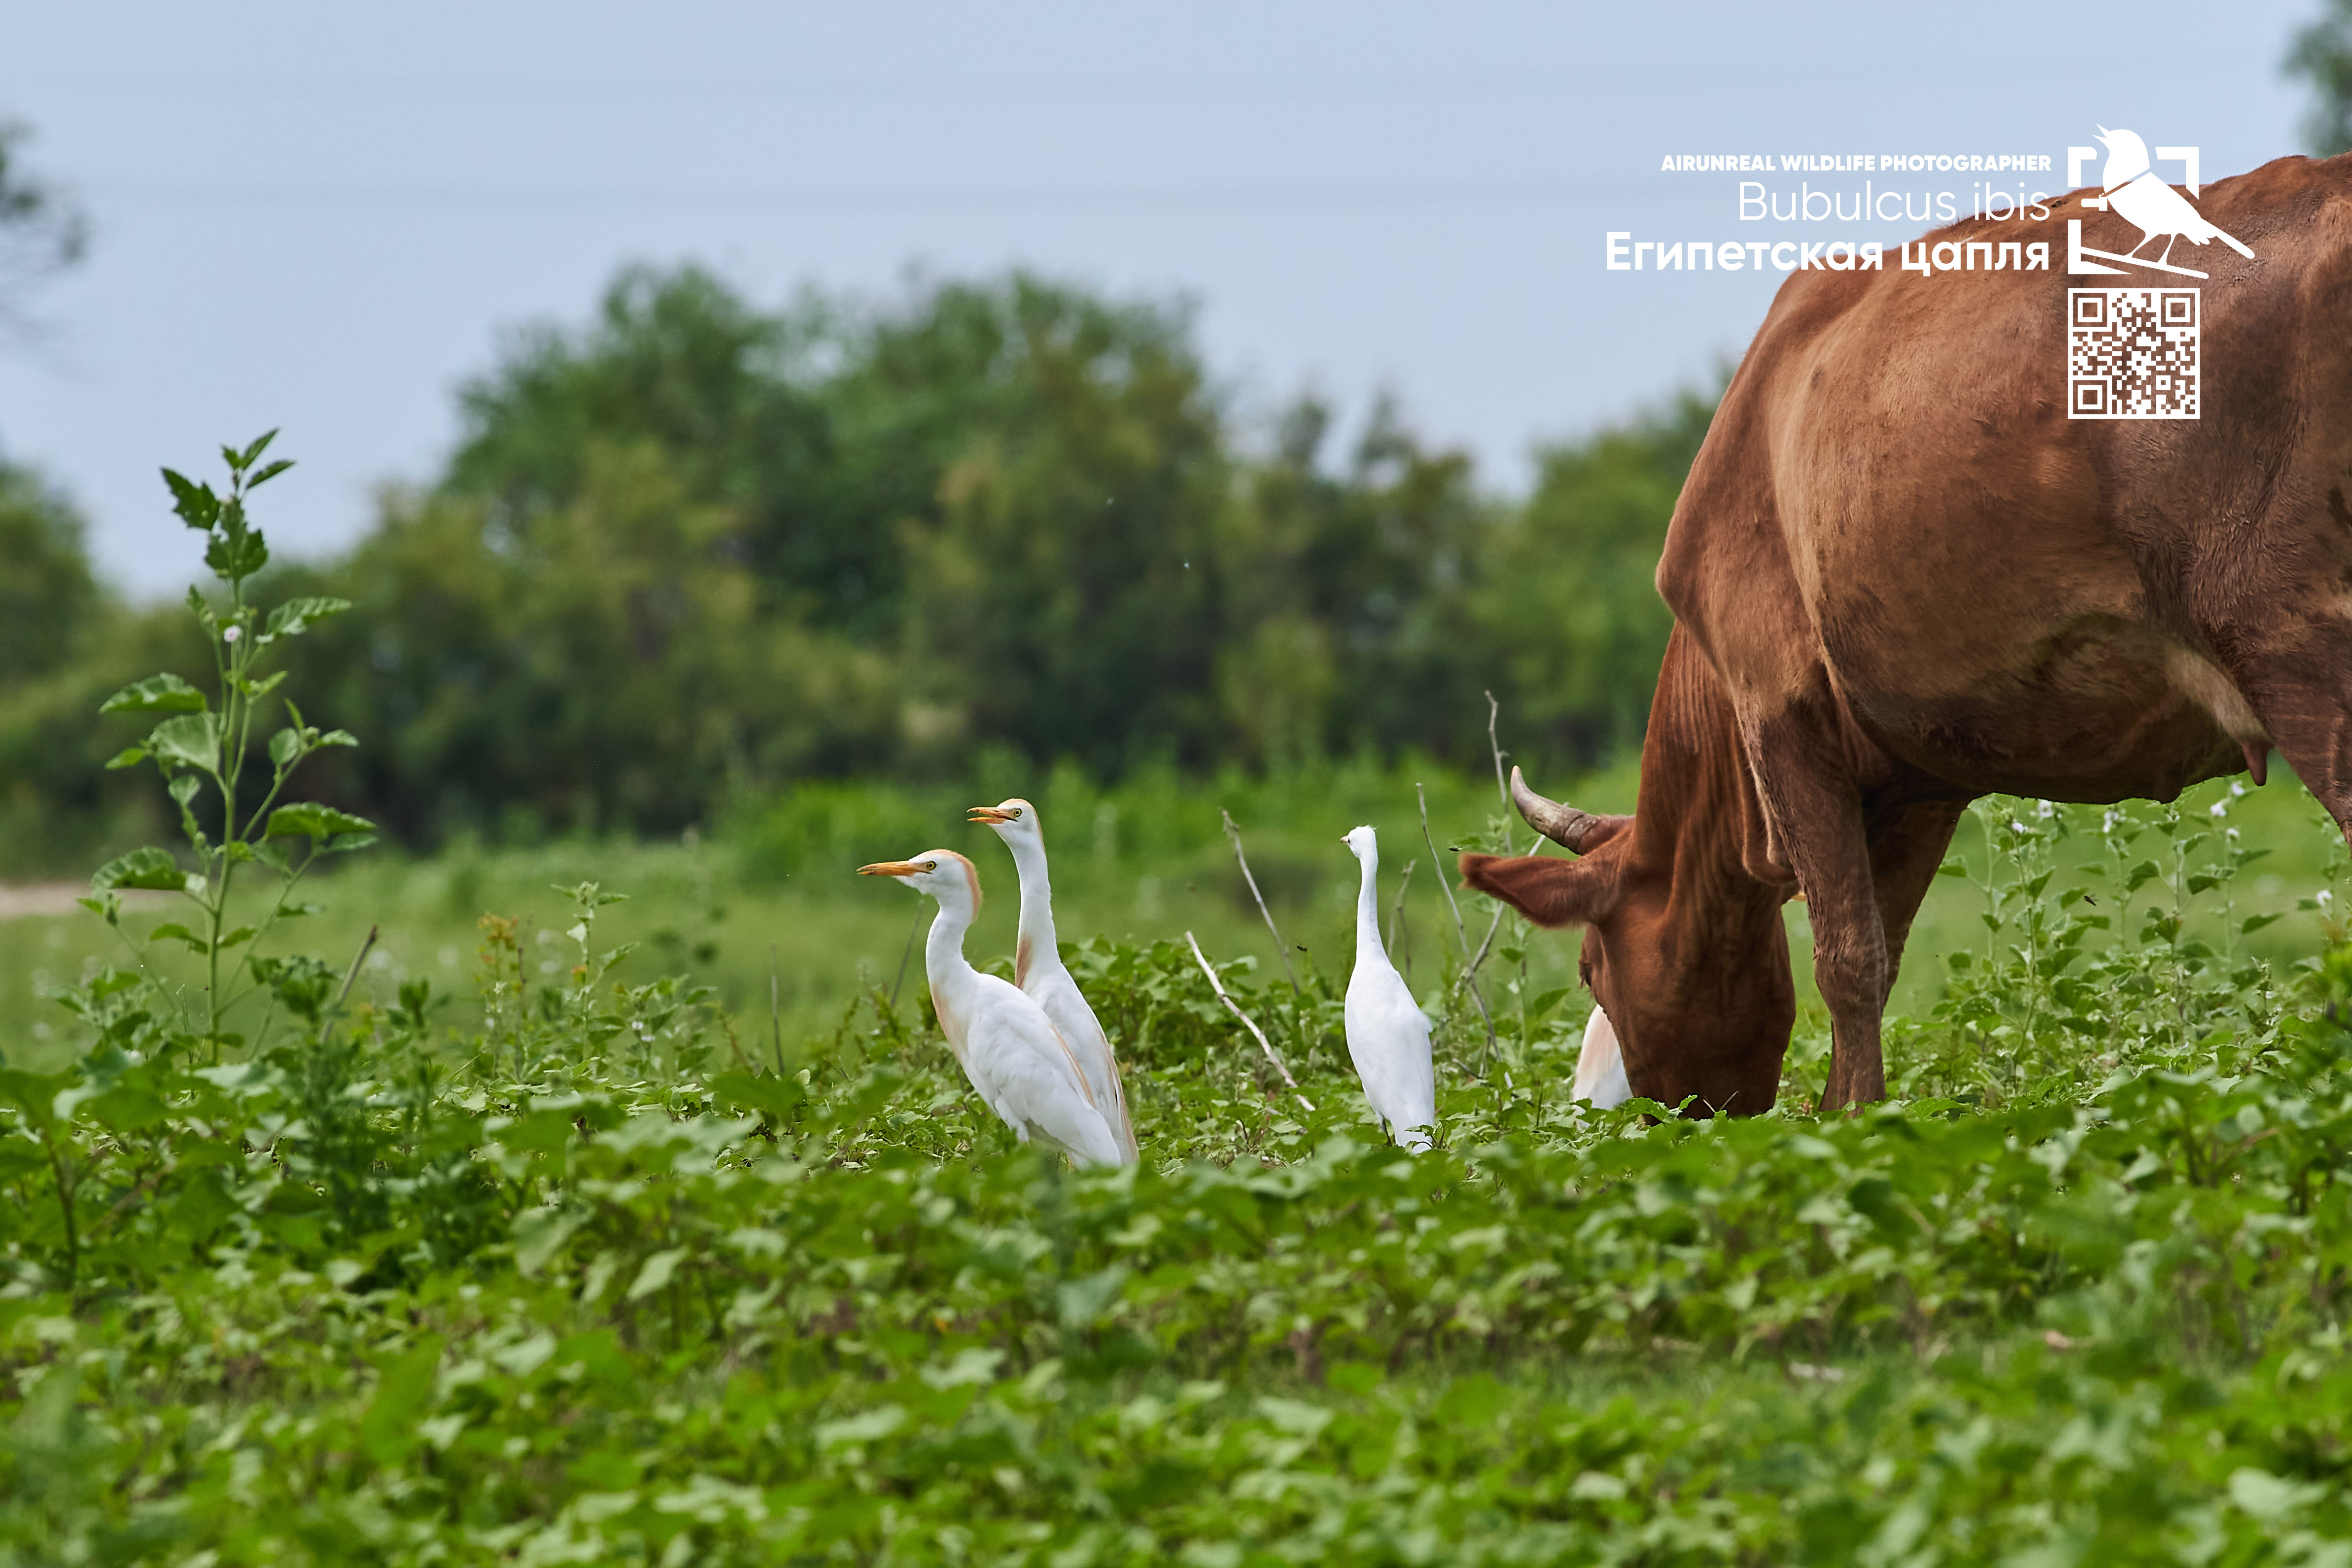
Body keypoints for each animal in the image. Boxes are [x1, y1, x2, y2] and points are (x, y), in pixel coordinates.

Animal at [1458, 152, 2342, 1114]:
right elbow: (1881, 952)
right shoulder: (1920, 776)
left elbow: (1845, 957)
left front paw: (1844, 1121)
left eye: (1589, 968)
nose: (1663, 1118)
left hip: (2299, 648)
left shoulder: (1780, 710)